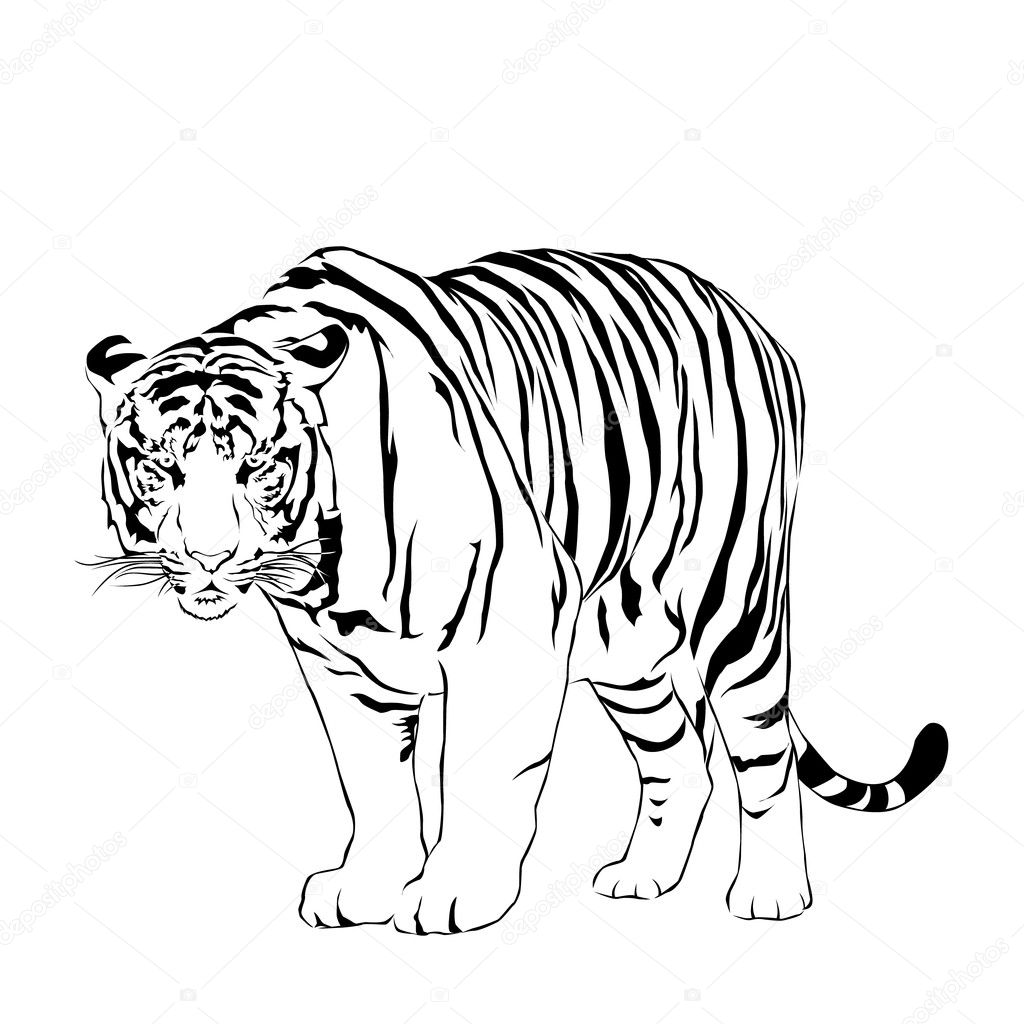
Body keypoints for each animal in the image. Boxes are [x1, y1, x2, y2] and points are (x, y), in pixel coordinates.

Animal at [85, 245, 948, 934]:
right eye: (158, 466)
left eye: (257, 466)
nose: (208, 557)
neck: (332, 572)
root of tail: (746, 318)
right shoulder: (338, 669)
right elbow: (373, 783)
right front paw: (364, 888)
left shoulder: (504, 643)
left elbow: (478, 778)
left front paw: (452, 895)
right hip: (623, 642)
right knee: (679, 760)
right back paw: (644, 876)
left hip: (737, 605)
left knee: (760, 755)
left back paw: (769, 892)